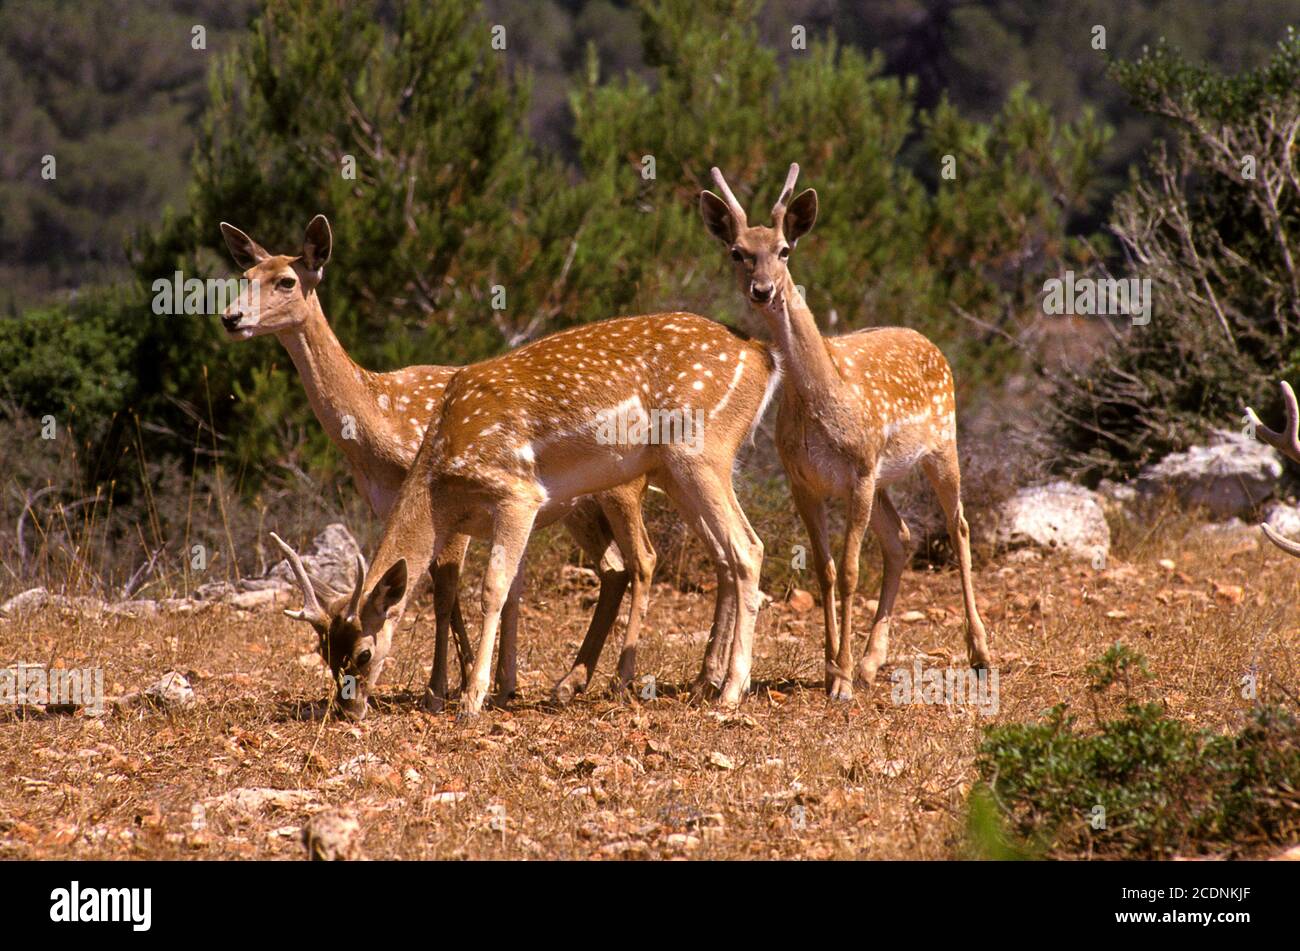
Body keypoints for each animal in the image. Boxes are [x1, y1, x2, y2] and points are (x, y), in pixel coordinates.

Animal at [218, 215, 658, 712]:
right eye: (246, 276)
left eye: (287, 281)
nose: (231, 317)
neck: (378, 426)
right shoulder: (392, 506)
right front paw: (479, 682)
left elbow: (445, 591)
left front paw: (443, 687)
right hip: (576, 506)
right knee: (613, 569)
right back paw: (569, 682)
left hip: (619, 489)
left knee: (641, 561)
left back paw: (620, 680)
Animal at [270, 309, 779, 718]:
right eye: (324, 652)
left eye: (363, 654)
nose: (348, 709)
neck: (443, 477)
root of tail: (762, 356)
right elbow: (511, 588)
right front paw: (497, 690)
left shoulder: (518, 492)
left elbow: (492, 588)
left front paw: (470, 700)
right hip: (676, 471)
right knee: (723, 554)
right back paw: (702, 684)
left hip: (700, 453)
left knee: (746, 547)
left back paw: (729, 691)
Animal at [700, 164, 992, 701]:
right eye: (737, 252)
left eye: (784, 249)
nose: (763, 289)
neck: (825, 400)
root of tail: (930, 342)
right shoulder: (805, 481)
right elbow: (825, 570)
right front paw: (834, 669)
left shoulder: (857, 471)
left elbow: (853, 570)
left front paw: (842, 682)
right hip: (883, 476)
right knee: (901, 537)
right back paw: (873, 662)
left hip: (941, 444)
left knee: (959, 525)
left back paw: (979, 653)